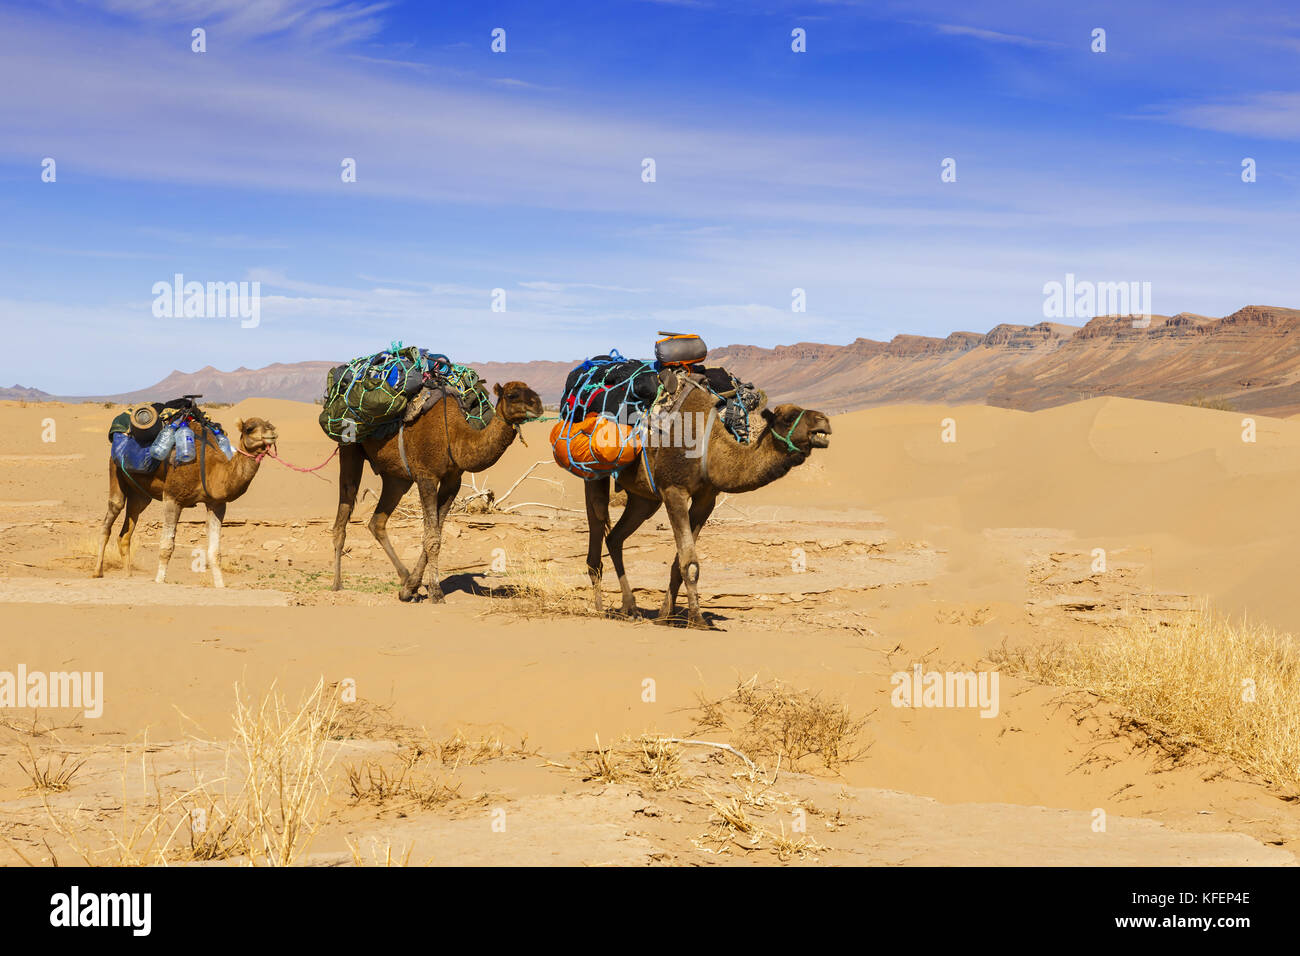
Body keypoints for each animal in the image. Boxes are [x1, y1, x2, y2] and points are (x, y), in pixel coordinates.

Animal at [93, 417, 280, 586]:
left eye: (269, 424)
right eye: (249, 428)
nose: (272, 432)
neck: (211, 467)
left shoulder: (217, 504)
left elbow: (215, 552)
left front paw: (220, 585)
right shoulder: (172, 497)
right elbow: (167, 545)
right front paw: (159, 580)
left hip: (140, 495)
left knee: (126, 530)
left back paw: (128, 575)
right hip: (115, 472)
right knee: (112, 514)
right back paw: (97, 572)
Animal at [330, 381, 543, 603]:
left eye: (533, 392)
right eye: (512, 395)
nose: (538, 405)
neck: (455, 437)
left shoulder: (452, 481)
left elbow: (436, 533)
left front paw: (410, 589)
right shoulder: (427, 477)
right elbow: (432, 538)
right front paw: (435, 592)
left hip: (397, 477)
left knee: (377, 522)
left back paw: (404, 577)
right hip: (350, 447)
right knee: (345, 504)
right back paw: (337, 584)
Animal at [584, 383, 831, 628]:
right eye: (789, 418)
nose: (824, 420)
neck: (710, 450)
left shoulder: (706, 499)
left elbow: (679, 562)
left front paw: (665, 616)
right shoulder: (674, 490)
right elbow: (689, 561)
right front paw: (698, 619)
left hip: (644, 499)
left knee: (614, 537)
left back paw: (630, 608)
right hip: (594, 473)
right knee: (597, 527)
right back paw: (599, 608)